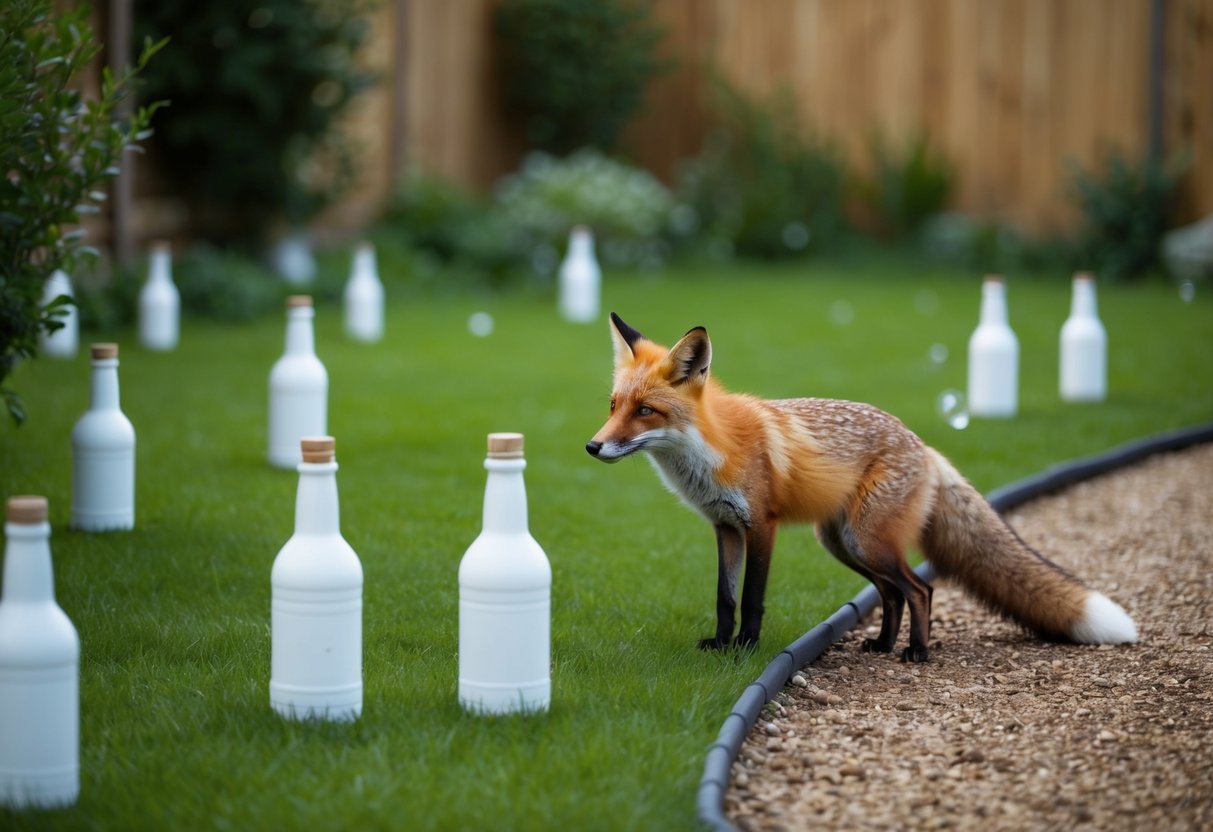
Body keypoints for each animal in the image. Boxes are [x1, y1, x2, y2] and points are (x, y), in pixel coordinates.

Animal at [585, 312, 1137, 662]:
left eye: (646, 411)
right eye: (613, 405)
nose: (593, 447)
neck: (709, 451)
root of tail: (925, 446)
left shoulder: (762, 525)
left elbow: (754, 597)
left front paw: (745, 648)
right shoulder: (724, 527)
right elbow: (725, 597)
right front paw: (721, 644)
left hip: (867, 540)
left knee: (920, 588)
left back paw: (917, 651)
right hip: (843, 542)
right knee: (892, 593)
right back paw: (884, 645)